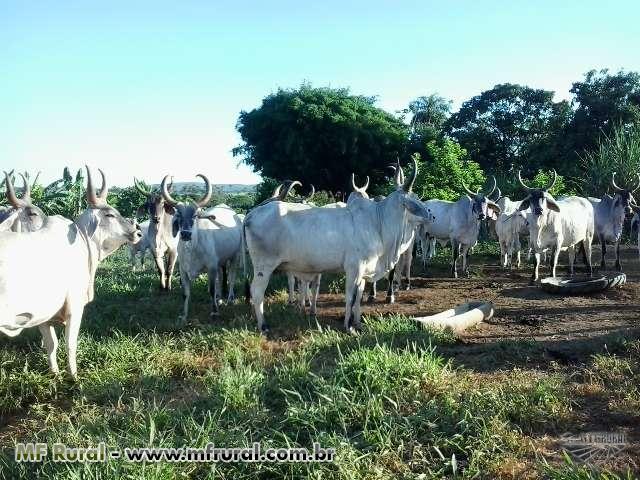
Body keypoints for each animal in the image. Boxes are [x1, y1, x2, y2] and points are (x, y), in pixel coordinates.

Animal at [0, 167, 141, 379]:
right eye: (109, 214)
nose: (137, 232)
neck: (82, 240)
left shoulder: (43, 316)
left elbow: (51, 344)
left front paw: (55, 373)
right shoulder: (74, 307)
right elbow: (70, 344)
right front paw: (73, 376)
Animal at [160, 175, 244, 324]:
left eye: (194, 216)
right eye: (179, 216)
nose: (185, 234)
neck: (192, 249)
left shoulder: (211, 267)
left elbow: (211, 290)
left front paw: (214, 312)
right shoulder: (183, 270)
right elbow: (185, 294)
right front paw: (183, 316)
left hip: (235, 256)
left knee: (232, 277)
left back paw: (229, 298)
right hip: (220, 262)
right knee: (221, 276)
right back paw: (219, 298)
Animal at [244, 158, 432, 333]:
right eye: (414, 201)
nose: (431, 216)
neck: (377, 222)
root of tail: (251, 215)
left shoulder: (363, 272)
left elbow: (359, 297)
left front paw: (358, 323)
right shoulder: (354, 268)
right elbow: (351, 297)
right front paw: (348, 326)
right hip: (264, 266)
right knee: (257, 291)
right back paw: (263, 326)